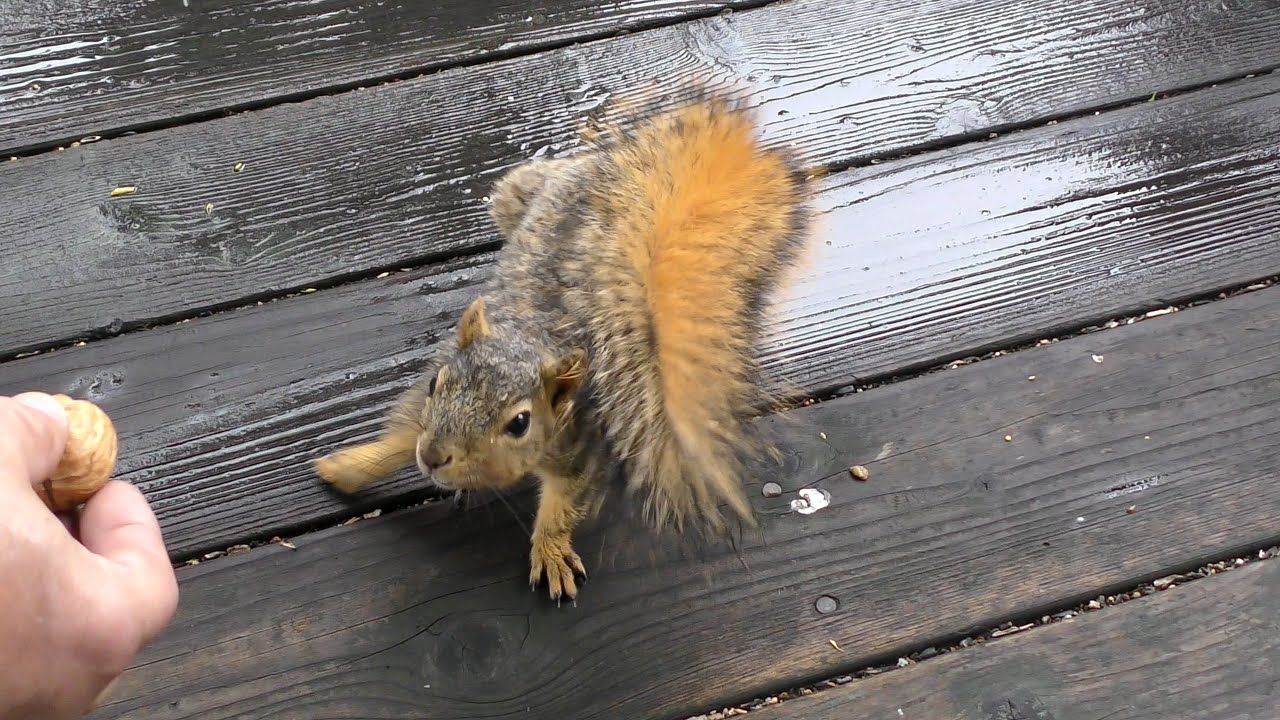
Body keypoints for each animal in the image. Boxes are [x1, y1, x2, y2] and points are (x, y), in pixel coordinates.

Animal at [313, 83, 816, 602]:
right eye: (436, 384)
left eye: (519, 423)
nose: (433, 458)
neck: (532, 338)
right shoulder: (423, 406)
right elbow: (398, 437)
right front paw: (349, 467)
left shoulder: (582, 443)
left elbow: (564, 502)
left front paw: (551, 552)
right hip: (518, 193)